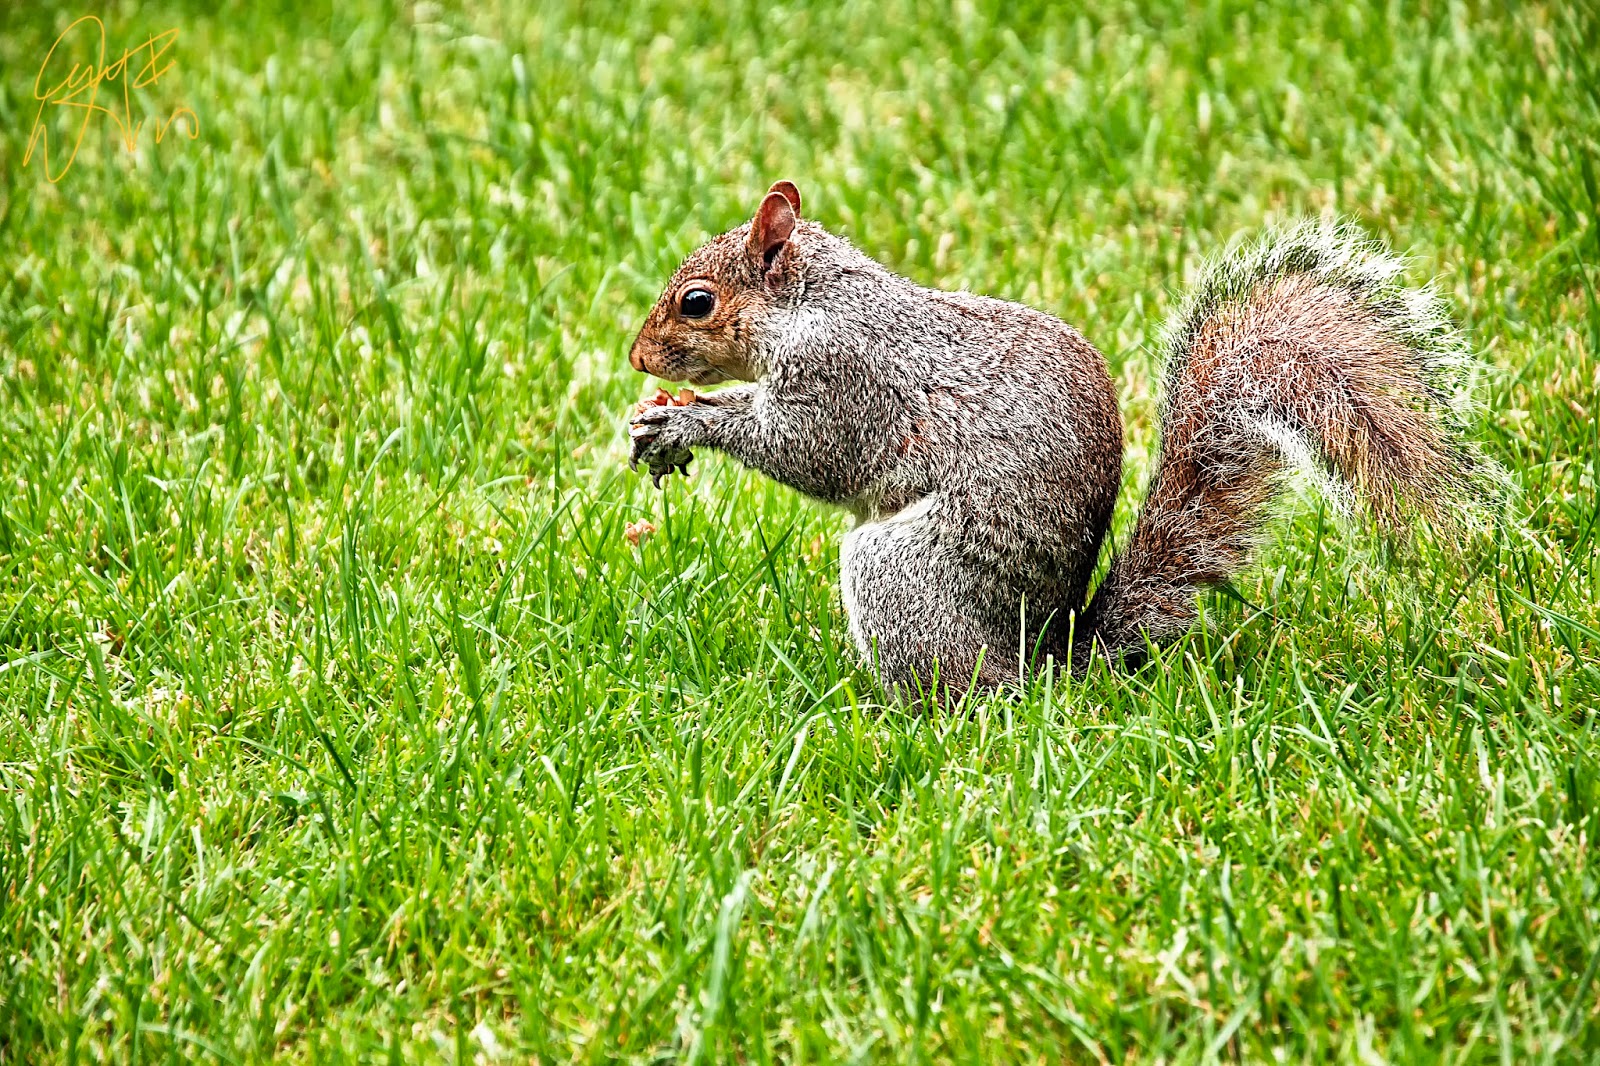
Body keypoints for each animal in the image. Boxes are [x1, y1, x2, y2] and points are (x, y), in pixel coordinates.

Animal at [626, 180, 1489, 692]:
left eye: (697, 301)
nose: (637, 358)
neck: (813, 303)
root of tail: (1049, 660)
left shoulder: (847, 379)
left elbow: (809, 453)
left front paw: (687, 418)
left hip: (904, 572)